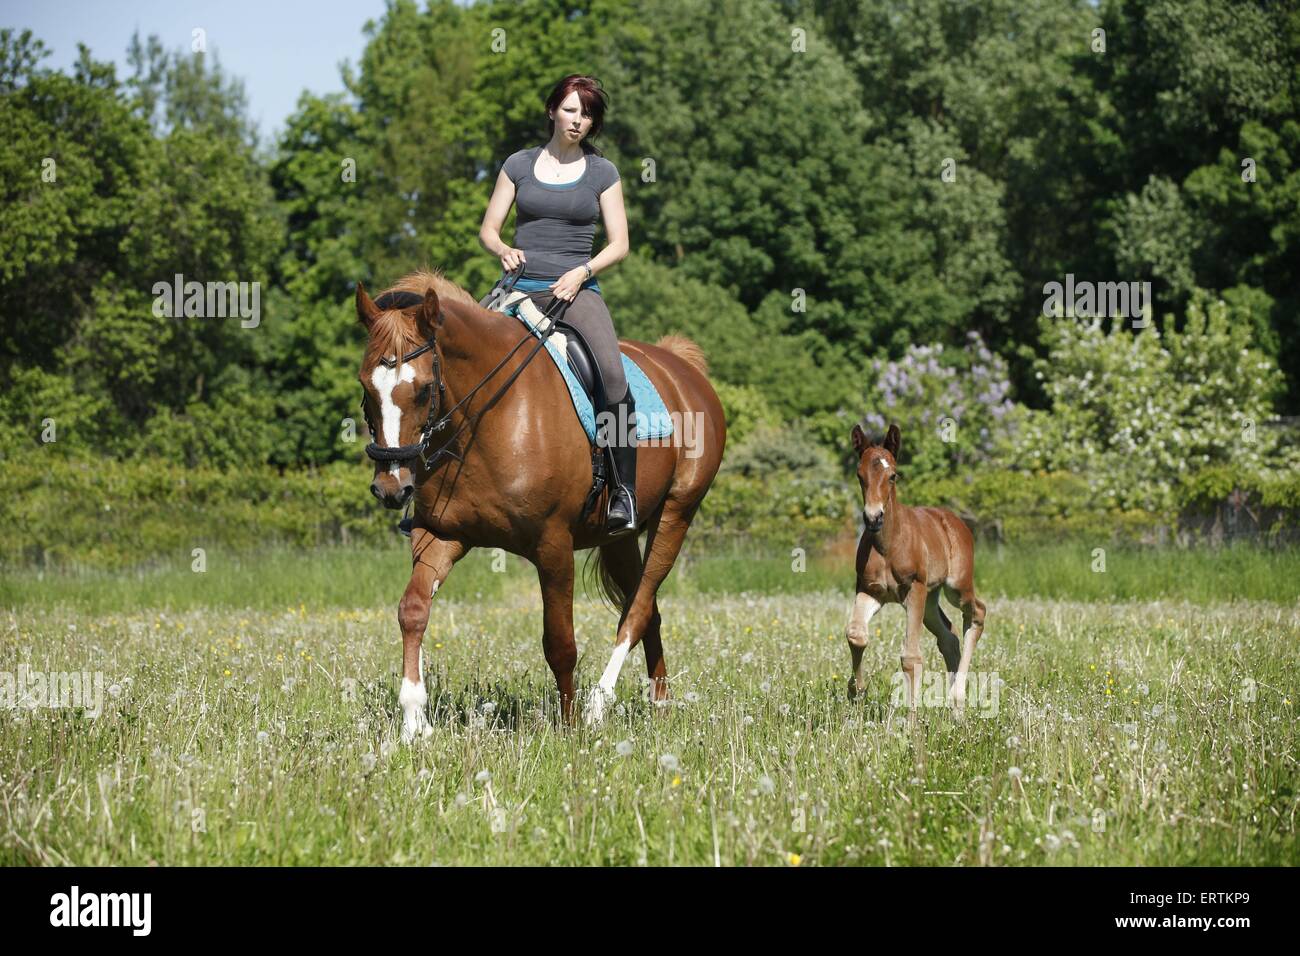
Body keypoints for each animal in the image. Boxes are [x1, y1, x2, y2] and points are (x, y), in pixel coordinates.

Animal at [354, 270, 726, 740]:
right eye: (366, 386)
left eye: (422, 391)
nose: (391, 487)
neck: (486, 417)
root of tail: (681, 367)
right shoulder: (442, 535)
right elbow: (413, 611)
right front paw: (413, 722)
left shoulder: (553, 546)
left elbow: (559, 642)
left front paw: (569, 728)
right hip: (618, 538)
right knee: (648, 610)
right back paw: (659, 702)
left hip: (677, 514)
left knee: (638, 609)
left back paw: (599, 704)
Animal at [844, 423, 987, 714]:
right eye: (859, 475)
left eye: (893, 475)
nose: (873, 517)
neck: (888, 545)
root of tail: (955, 521)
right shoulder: (870, 591)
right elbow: (856, 635)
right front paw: (857, 691)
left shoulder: (914, 589)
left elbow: (910, 656)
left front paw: (911, 721)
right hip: (930, 598)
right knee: (949, 636)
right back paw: (953, 708)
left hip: (955, 587)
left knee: (977, 612)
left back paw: (957, 698)